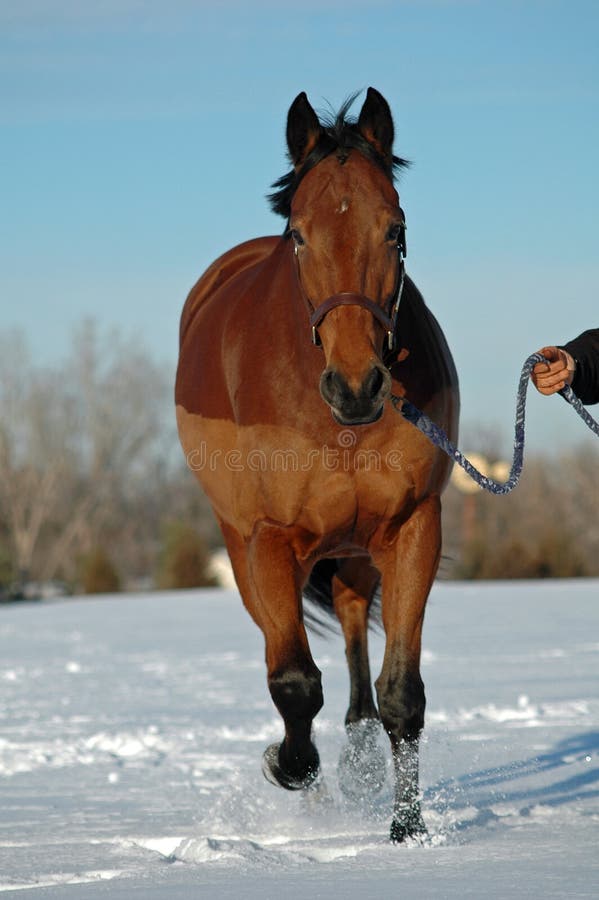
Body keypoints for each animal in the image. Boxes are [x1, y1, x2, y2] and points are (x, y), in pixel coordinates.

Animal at [175, 87, 459, 843]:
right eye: (299, 235)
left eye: (395, 230)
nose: (356, 385)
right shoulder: (270, 539)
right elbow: (294, 682)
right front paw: (289, 766)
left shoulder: (412, 526)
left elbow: (402, 692)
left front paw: (409, 830)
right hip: (245, 548)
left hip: (356, 548)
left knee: (357, 625)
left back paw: (358, 762)